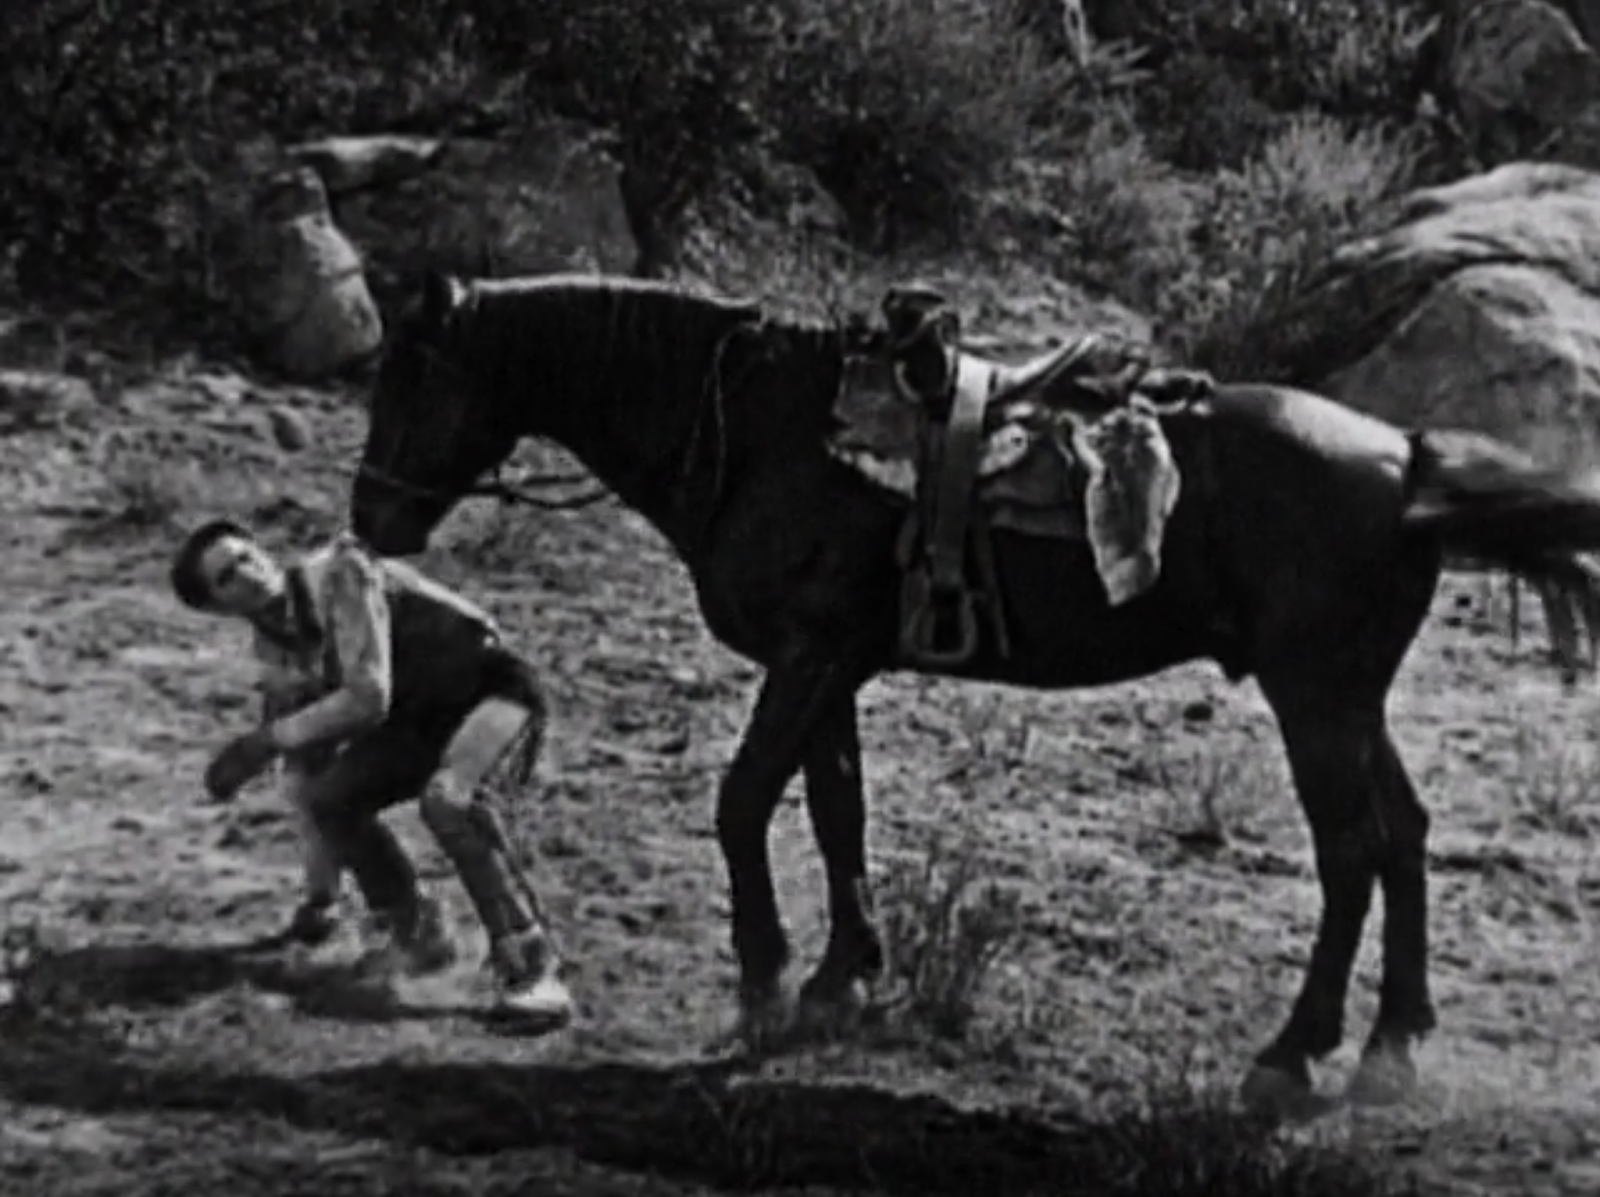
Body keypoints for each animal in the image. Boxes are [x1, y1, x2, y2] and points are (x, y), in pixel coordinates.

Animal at [347, 270, 1600, 1118]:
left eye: (413, 376)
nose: (372, 518)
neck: (762, 436)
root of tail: (1406, 460)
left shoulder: (805, 658)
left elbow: (743, 804)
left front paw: (762, 979)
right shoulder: (833, 669)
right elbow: (835, 813)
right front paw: (840, 978)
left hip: (1315, 701)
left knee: (1349, 856)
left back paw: (1291, 1053)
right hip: (1346, 701)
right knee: (1404, 837)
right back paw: (1392, 1043)